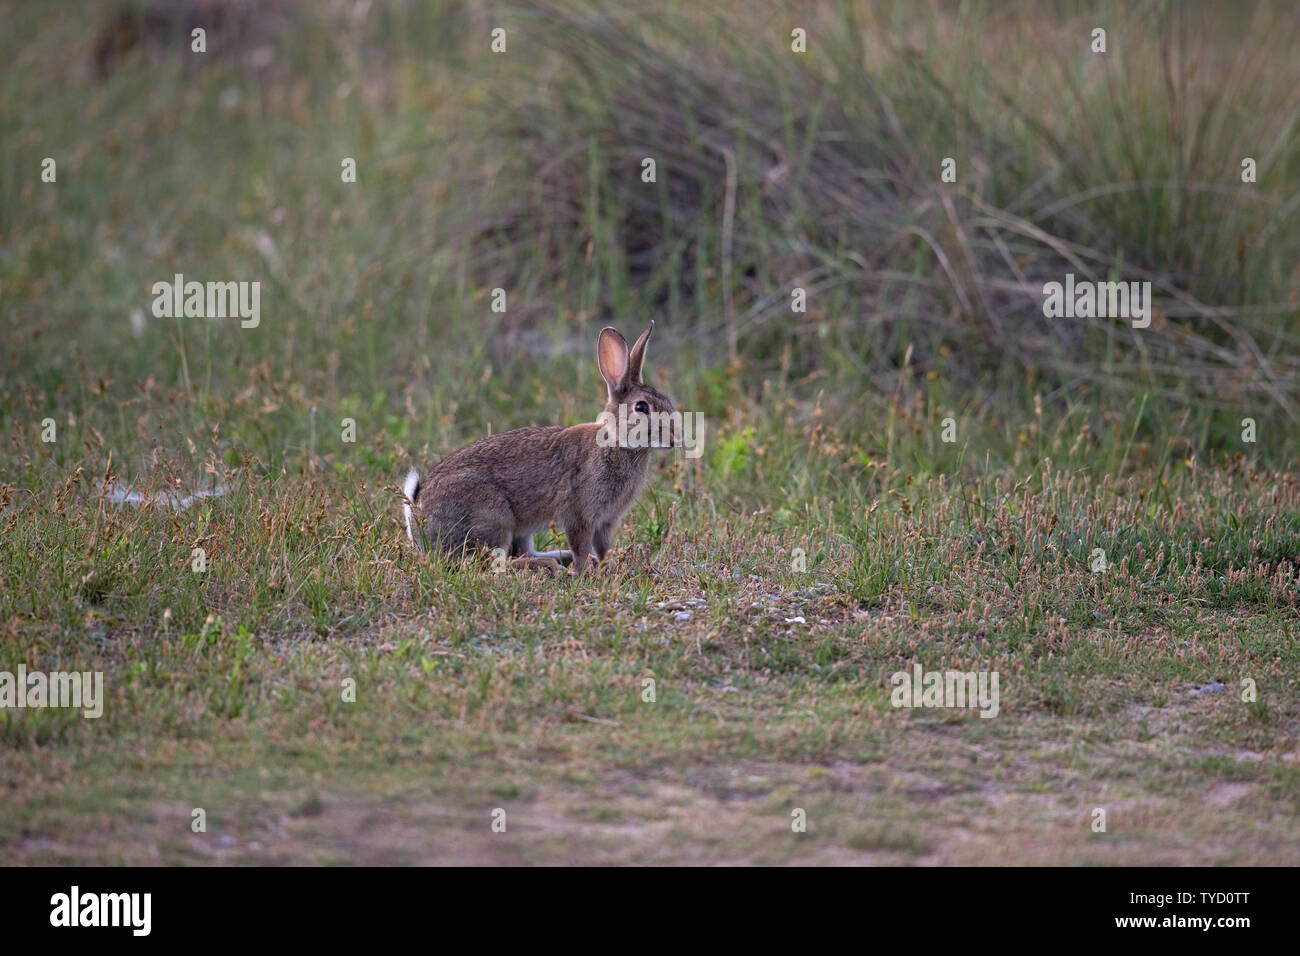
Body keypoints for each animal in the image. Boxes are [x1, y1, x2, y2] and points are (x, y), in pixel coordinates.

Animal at [403, 321, 677, 575]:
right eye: (641, 407)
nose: (676, 437)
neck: (616, 444)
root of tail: (417, 516)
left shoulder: (606, 522)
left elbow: (604, 548)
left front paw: (609, 568)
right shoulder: (580, 515)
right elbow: (581, 545)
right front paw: (582, 573)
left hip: (518, 529)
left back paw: (558, 559)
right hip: (493, 518)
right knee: (492, 563)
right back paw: (549, 566)